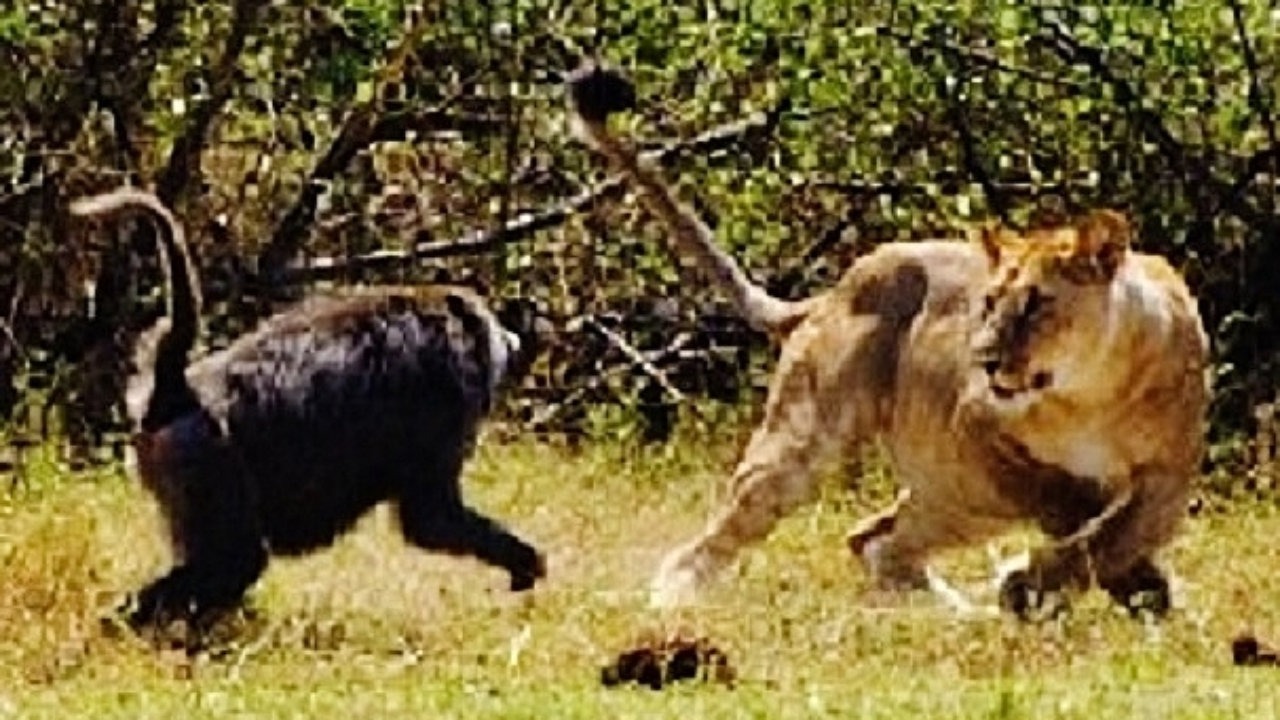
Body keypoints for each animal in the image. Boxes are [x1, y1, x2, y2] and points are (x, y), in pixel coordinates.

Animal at [70, 188, 548, 632]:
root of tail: (179, 392)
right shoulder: (447, 403)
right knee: (233, 563)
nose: (515, 340)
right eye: (491, 328)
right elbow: (430, 519)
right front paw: (525, 563)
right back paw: (126, 627)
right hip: (205, 463)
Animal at [566, 64, 1210, 619]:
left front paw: (1098, 584)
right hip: (813, 443)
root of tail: (835, 288)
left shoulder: (1168, 478)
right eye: (988, 302)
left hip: (955, 500)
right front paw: (1055, 578)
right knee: (724, 534)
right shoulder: (972, 425)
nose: (985, 358)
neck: (1089, 391)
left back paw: (958, 613)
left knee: (871, 540)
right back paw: (672, 600)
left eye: (1035, 304)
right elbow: (1063, 502)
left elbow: (1115, 536)